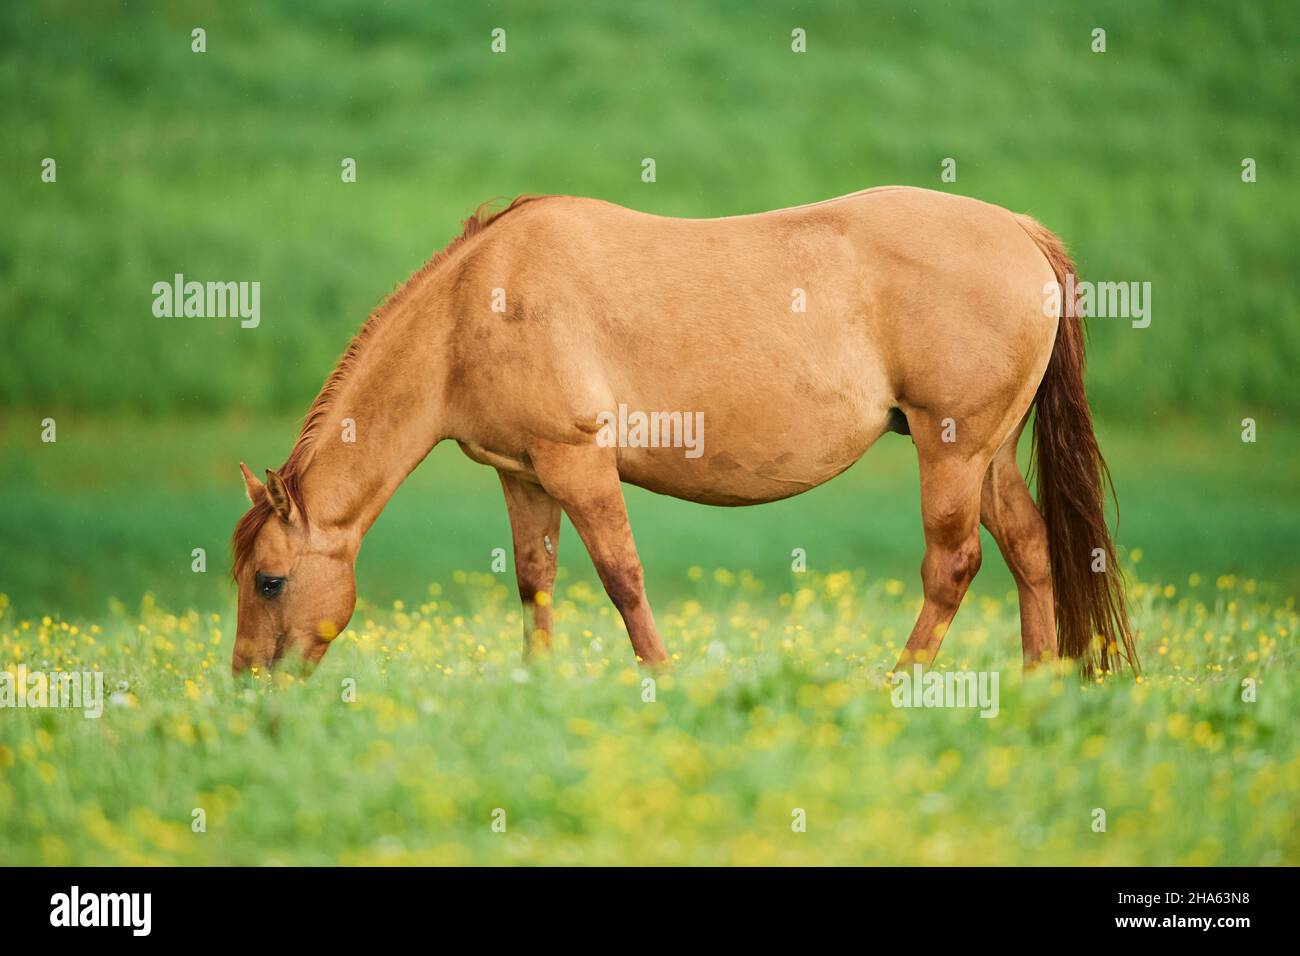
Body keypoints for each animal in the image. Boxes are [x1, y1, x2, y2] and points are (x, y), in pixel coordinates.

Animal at [230, 186, 1138, 678]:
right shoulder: (523, 472)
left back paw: (897, 687)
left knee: (953, 566)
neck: (473, 307)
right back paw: (1035, 684)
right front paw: (537, 686)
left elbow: (622, 577)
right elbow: (534, 582)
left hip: (952, 452)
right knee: (1029, 550)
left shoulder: (577, 461)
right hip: (985, 455)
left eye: (270, 580)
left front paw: (660, 681)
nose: (247, 685)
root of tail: (1020, 231)